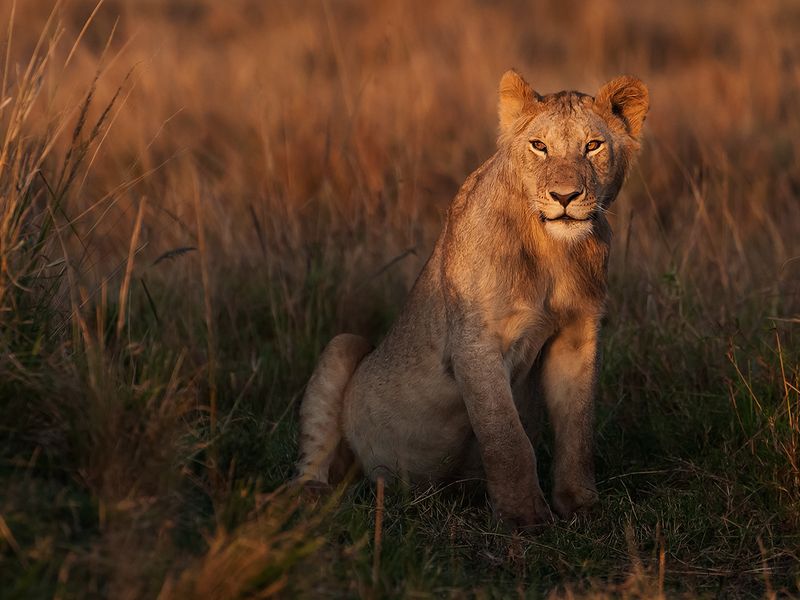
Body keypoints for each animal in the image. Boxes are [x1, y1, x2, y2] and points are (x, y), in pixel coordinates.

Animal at [295, 70, 648, 528]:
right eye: (539, 146)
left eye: (593, 145)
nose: (565, 197)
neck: (553, 251)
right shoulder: (474, 343)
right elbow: (507, 437)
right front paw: (524, 518)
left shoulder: (576, 336)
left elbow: (577, 431)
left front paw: (581, 507)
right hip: (344, 345)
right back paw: (315, 495)